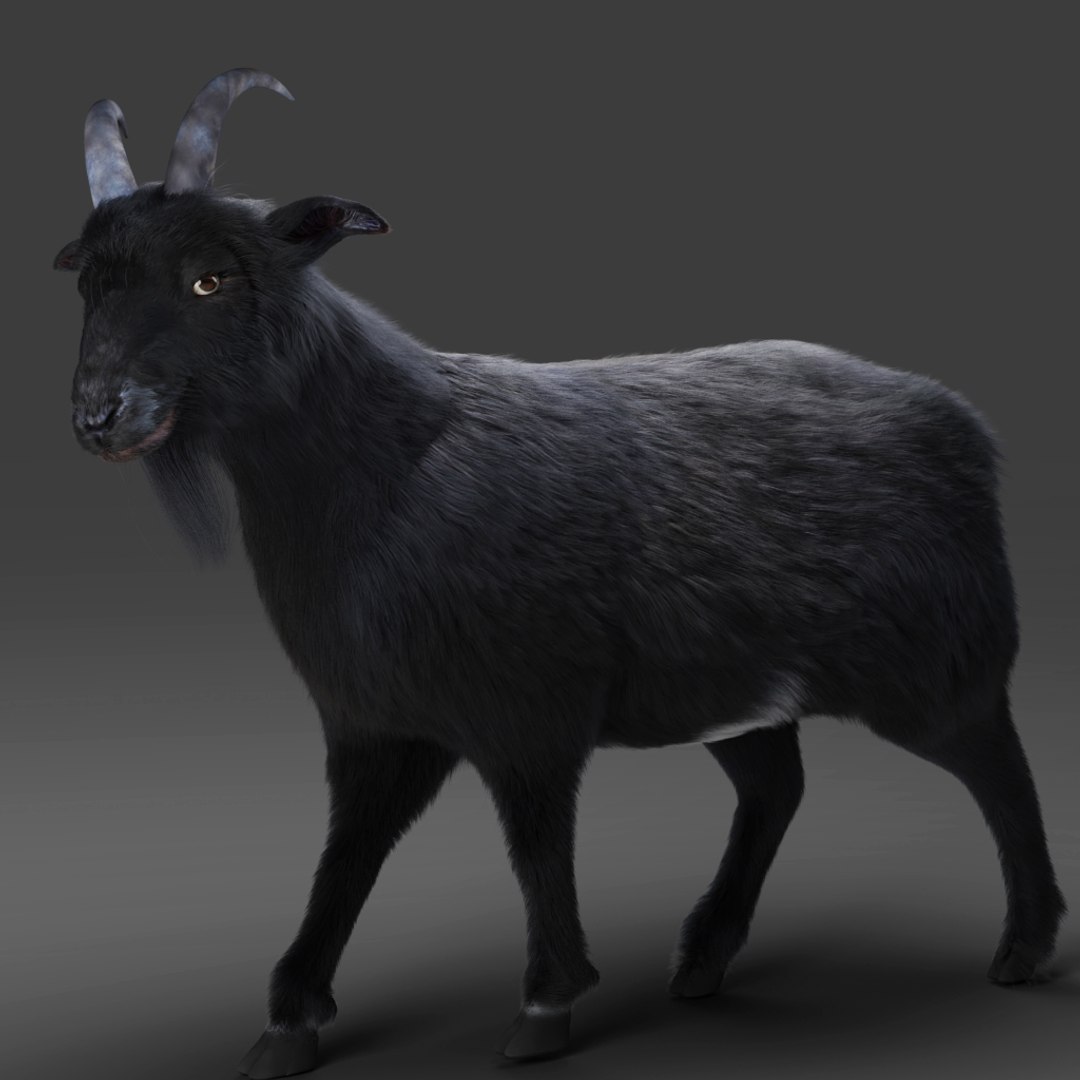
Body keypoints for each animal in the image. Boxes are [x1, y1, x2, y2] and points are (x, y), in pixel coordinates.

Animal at [56, 69, 1066, 1077]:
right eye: (91, 284)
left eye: (211, 277)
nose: (100, 416)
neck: (394, 464)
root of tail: (961, 423)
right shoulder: (375, 722)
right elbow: (346, 860)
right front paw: (288, 1024)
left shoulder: (529, 712)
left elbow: (535, 845)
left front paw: (546, 1004)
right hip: (736, 689)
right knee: (777, 786)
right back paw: (704, 957)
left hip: (933, 661)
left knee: (999, 765)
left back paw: (1025, 946)